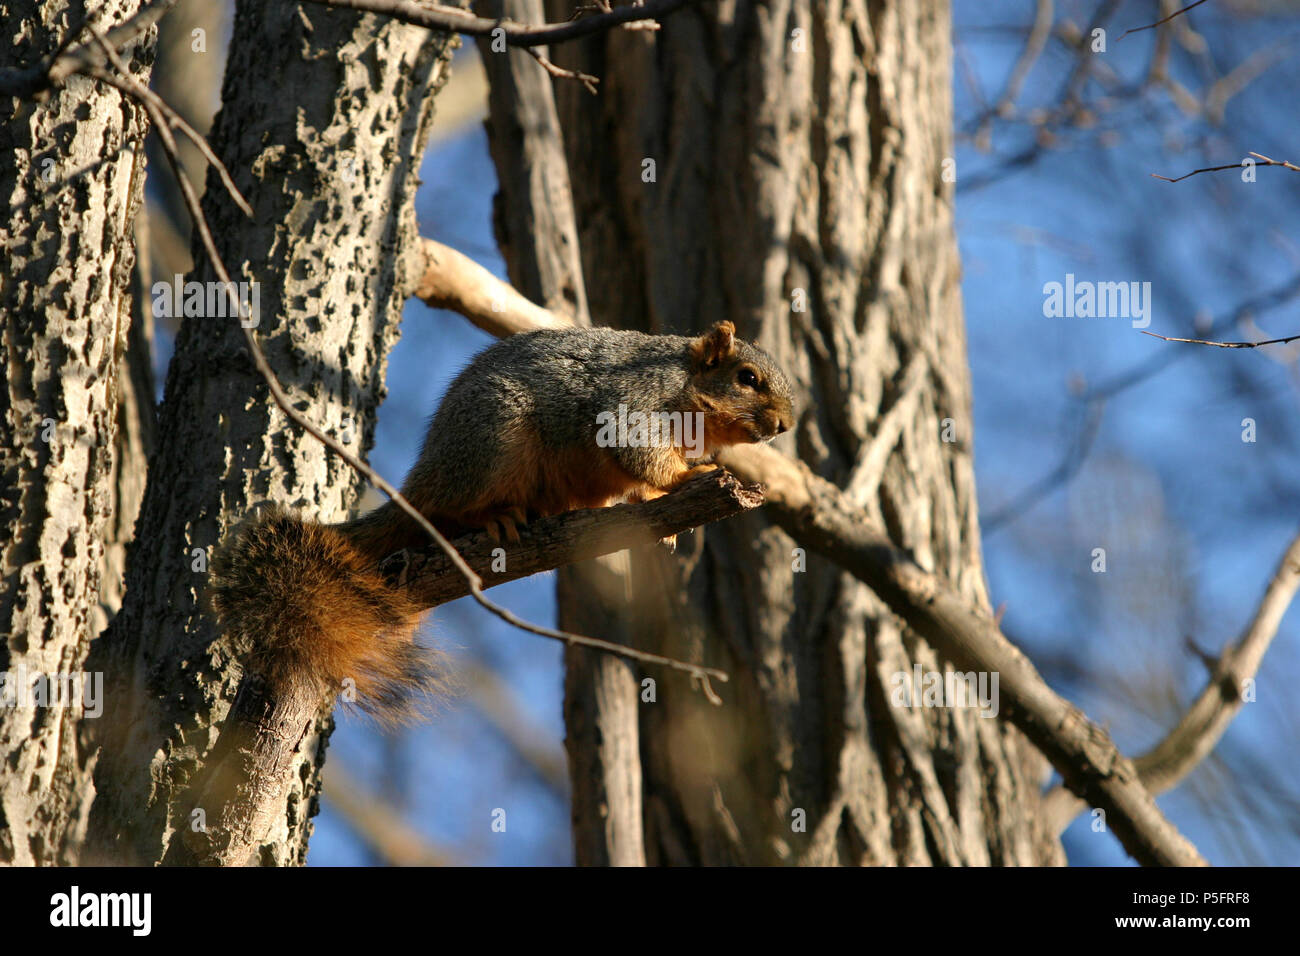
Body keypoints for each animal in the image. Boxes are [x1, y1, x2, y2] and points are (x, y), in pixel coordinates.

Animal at [208, 320, 795, 722]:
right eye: (746, 378)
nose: (786, 425)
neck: (684, 382)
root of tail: (429, 472)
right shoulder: (633, 401)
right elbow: (639, 453)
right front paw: (688, 476)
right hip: (495, 442)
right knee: (461, 505)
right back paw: (499, 518)